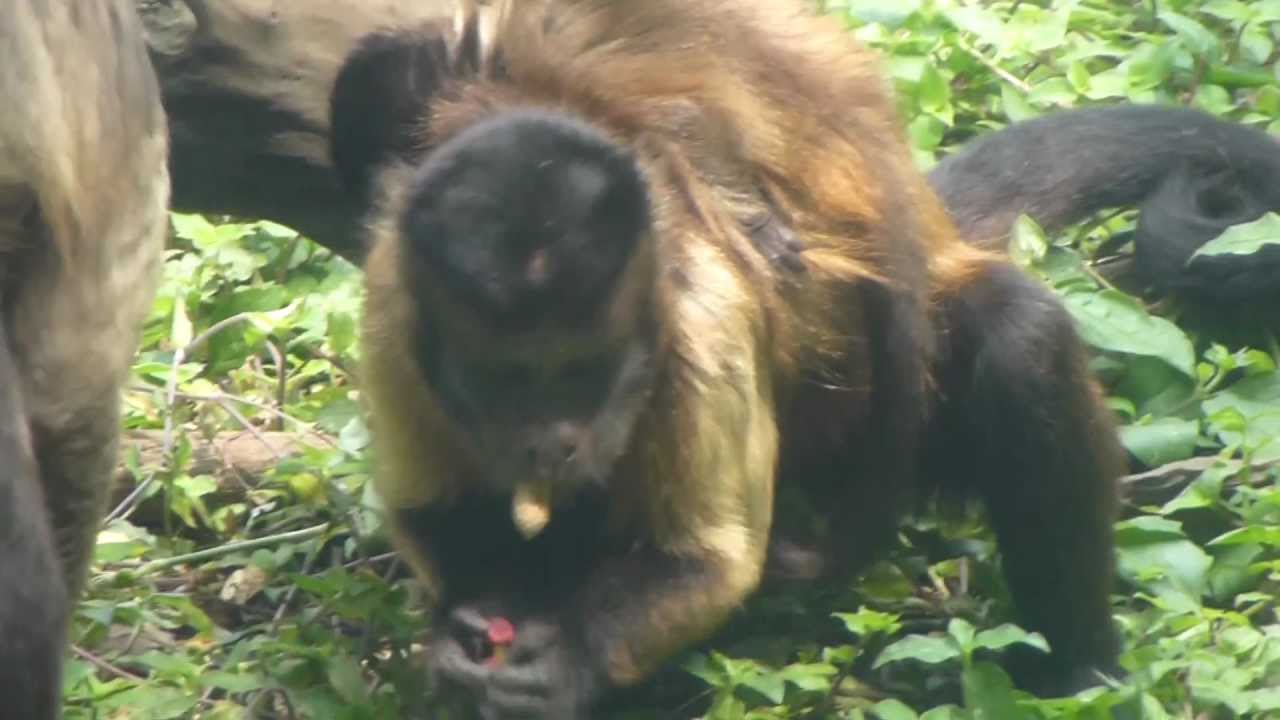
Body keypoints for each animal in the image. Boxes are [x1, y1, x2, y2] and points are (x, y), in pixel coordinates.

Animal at [328, 2, 1127, 717]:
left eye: (586, 371)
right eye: (500, 383)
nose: (551, 443)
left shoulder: (700, 316)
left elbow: (711, 561)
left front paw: (569, 659)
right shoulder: (393, 310)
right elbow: (432, 506)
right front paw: (469, 631)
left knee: (1018, 339)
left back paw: (1081, 669)